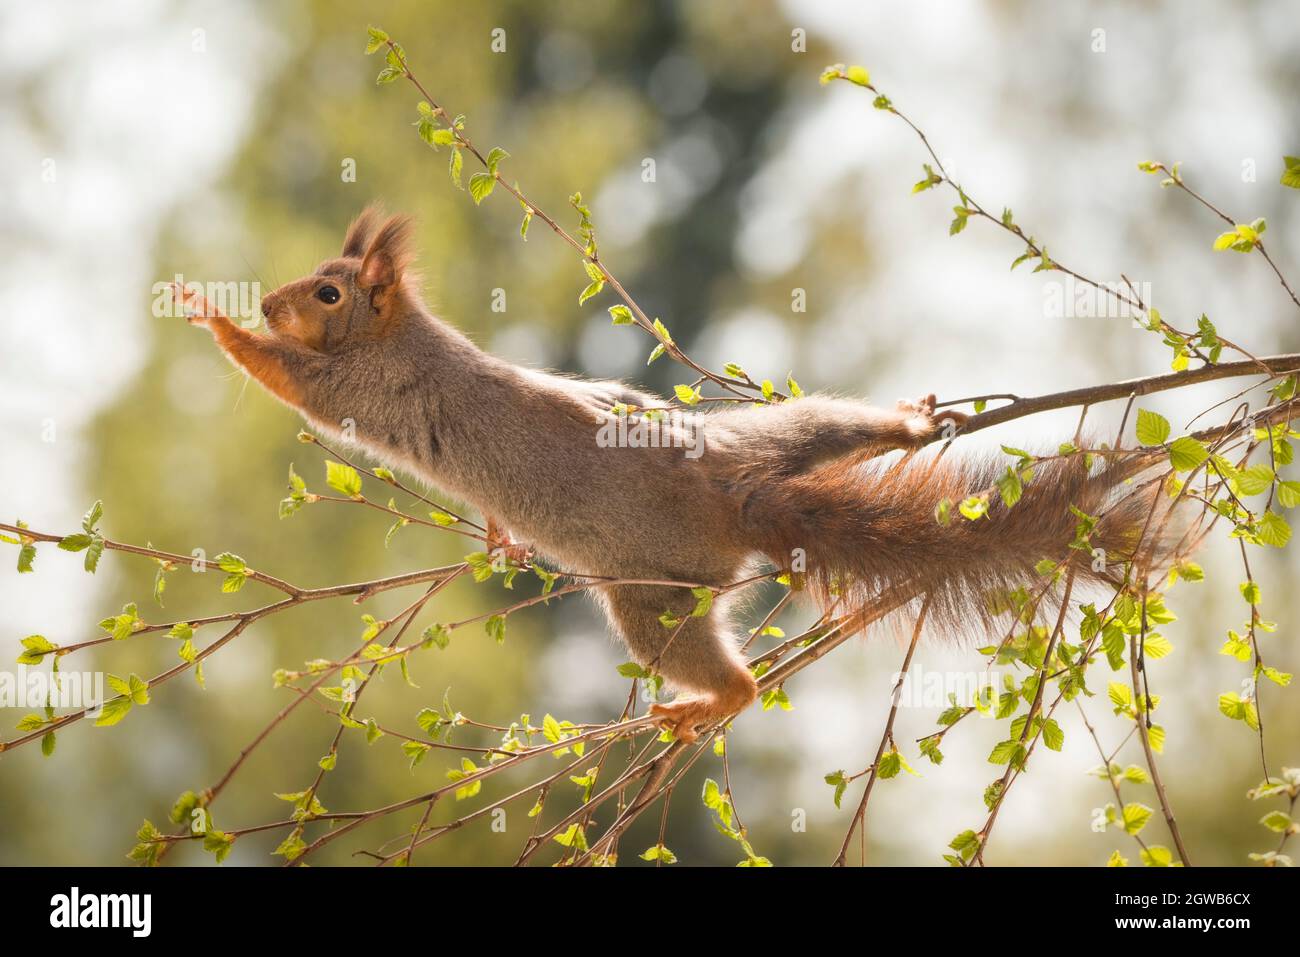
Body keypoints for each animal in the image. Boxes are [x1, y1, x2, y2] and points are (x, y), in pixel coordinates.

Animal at [175, 206, 1179, 743]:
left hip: (647, 600)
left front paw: (208, 311)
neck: (397, 335)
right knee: (830, 427)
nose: (273, 300)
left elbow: (279, 376)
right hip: (771, 434)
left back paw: (707, 705)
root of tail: (739, 508)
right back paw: (906, 421)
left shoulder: (346, 385)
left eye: (329, 292)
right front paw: (501, 538)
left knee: (730, 679)